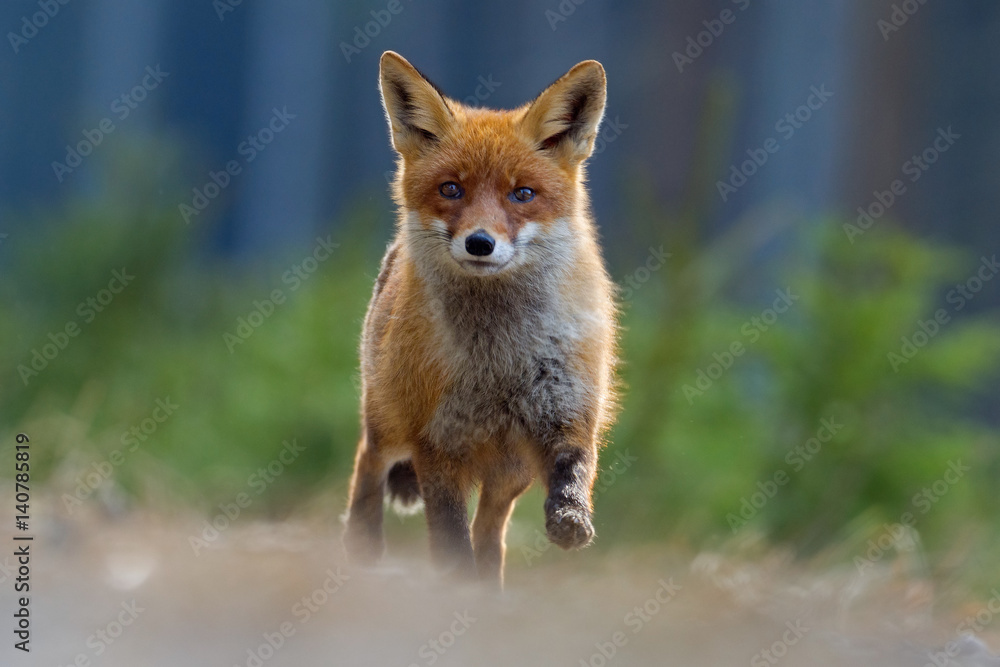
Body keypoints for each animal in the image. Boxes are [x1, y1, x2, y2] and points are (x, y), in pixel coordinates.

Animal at [343, 51, 618, 587]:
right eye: (452, 189)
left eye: (522, 194)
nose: (480, 243)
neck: (498, 361)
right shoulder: (438, 444)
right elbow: (451, 543)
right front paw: (455, 586)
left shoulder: (566, 411)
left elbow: (574, 470)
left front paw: (571, 518)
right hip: (388, 418)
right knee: (367, 465)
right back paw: (362, 549)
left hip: (508, 473)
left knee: (491, 534)